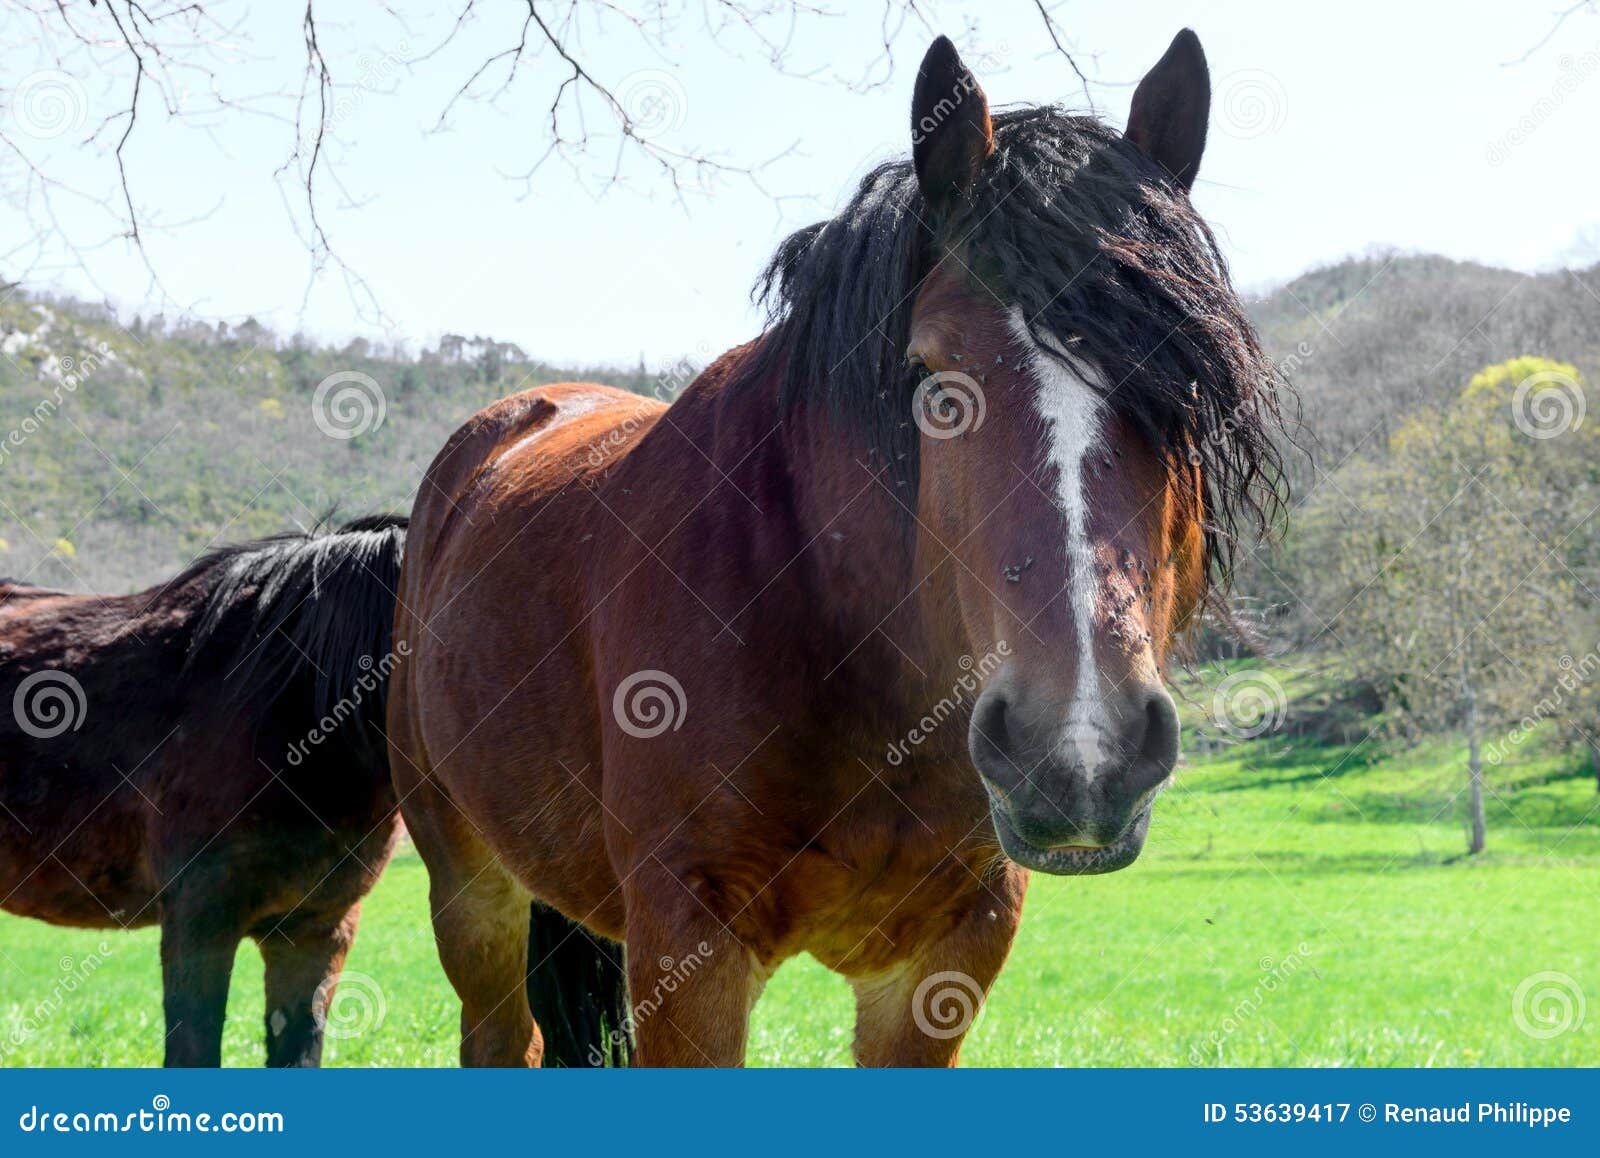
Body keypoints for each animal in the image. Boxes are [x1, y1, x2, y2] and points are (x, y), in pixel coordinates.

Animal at [389, 29, 1288, 1067]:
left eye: (1188, 388)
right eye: (933, 377)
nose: (1080, 745)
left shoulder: (944, 960)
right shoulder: (685, 947)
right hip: (468, 888)